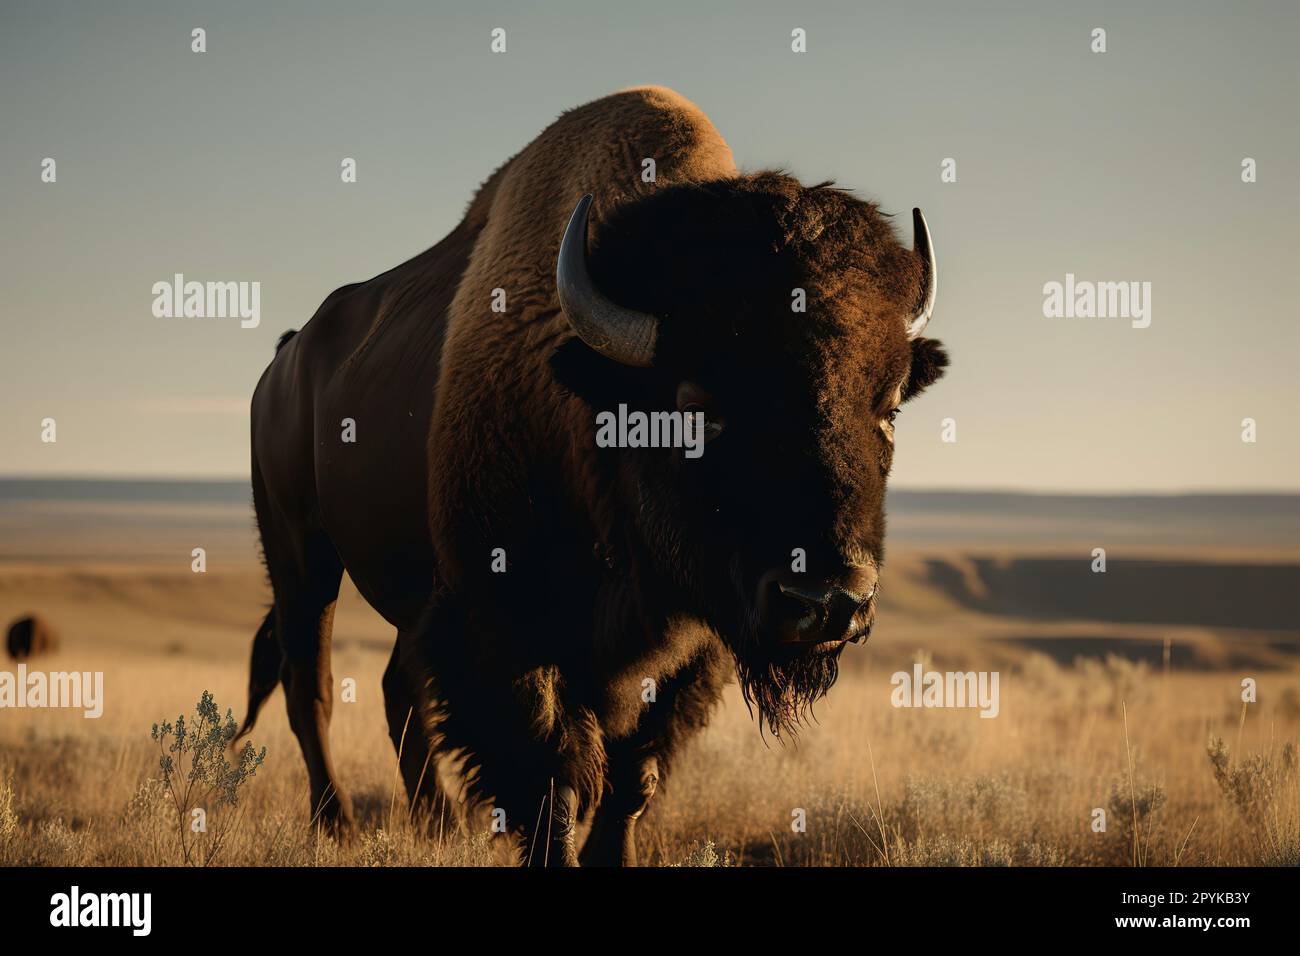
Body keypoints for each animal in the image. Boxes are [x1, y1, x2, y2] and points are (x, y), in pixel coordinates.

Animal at [238, 86, 947, 865]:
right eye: (697, 408)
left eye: (888, 408)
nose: (826, 599)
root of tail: (287, 359)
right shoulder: (509, 629)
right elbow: (550, 777)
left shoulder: (692, 648)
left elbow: (634, 774)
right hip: (300, 552)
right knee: (311, 685)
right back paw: (336, 823)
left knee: (399, 687)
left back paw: (438, 825)